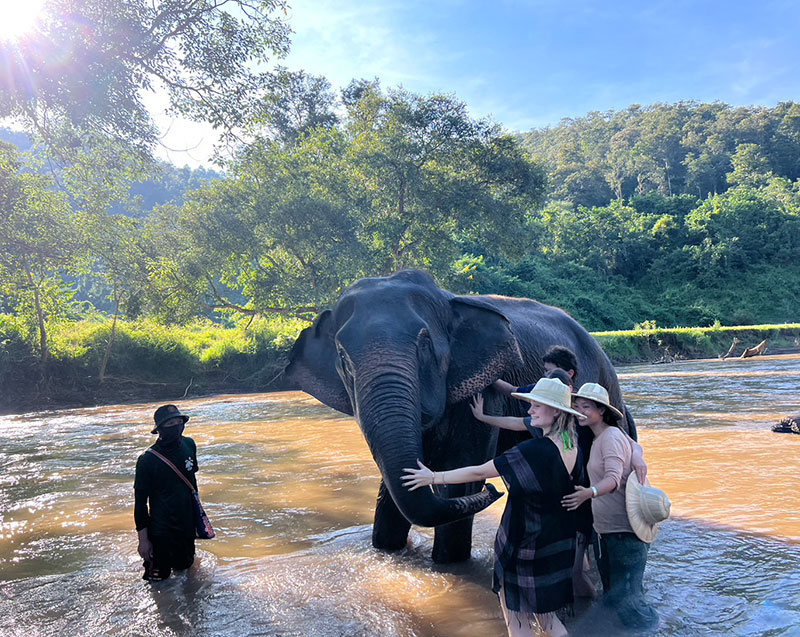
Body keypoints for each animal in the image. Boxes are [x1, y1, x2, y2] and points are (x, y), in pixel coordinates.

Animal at [285, 270, 634, 563]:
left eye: (425, 343)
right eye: (342, 357)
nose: (494, 490)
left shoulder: (483, 394)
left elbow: (462, 472)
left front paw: (448, 563)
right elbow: (394, 481)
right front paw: (388, 548)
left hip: (606, 383)